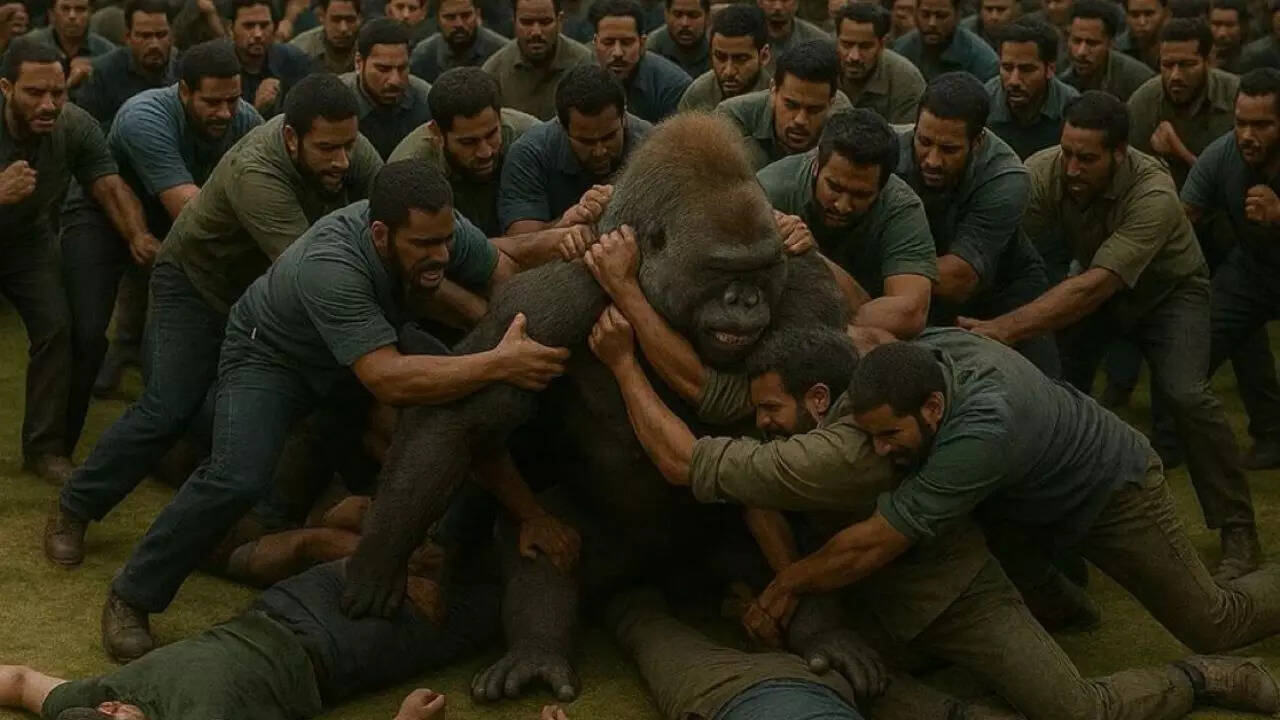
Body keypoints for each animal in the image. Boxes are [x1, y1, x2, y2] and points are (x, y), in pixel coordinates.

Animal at [340, 112, 862, 702]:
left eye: (760, 268)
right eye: (722, 270)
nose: (746, 301)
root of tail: (662, 574)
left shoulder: (803, 278)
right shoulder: (551, 297)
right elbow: (465, 408)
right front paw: (380, 559)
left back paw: (823, 633)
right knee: (547, 538)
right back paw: (536, 651)